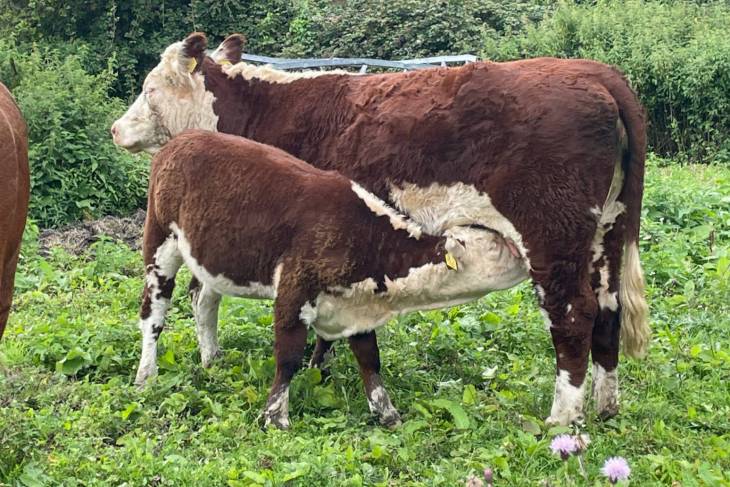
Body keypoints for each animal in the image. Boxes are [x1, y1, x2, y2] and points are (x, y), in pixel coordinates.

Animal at [139, 129, 526, 427]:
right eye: (496, 244)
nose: (524, 253)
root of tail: (181, 139)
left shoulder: (358, 303)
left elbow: (369, 358)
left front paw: (387, 414)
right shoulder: (294, 291)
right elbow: (289, 358)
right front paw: (275, 417)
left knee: (204, 300)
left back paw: (211, 360)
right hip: (160, 240)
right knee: (153, 313)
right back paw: (146, 376)